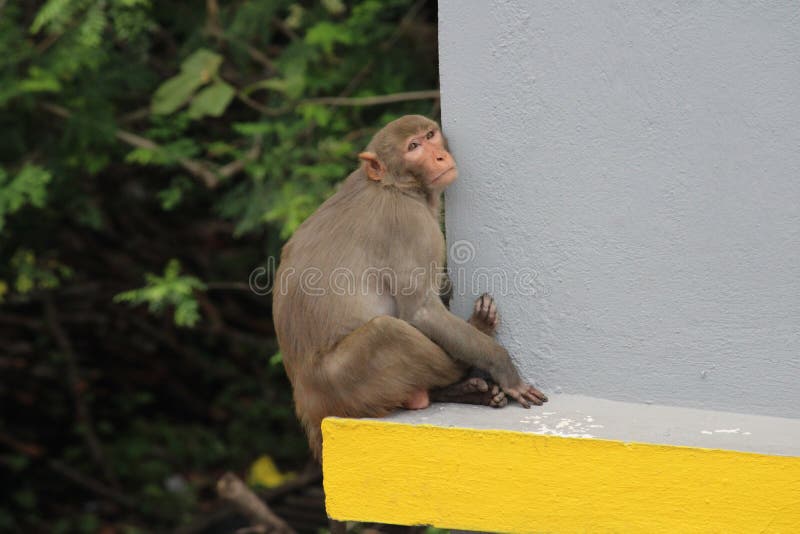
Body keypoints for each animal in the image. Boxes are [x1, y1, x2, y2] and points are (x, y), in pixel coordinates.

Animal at [272, 115, 547, 459]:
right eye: (413, 147)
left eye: (430, 135)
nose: (440, 156)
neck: (395, 186)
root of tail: (307, 404)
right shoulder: (411, 225)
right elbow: (420, 313)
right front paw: (506, 370)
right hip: (341, 381)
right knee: (388, 331)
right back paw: (470, 350)